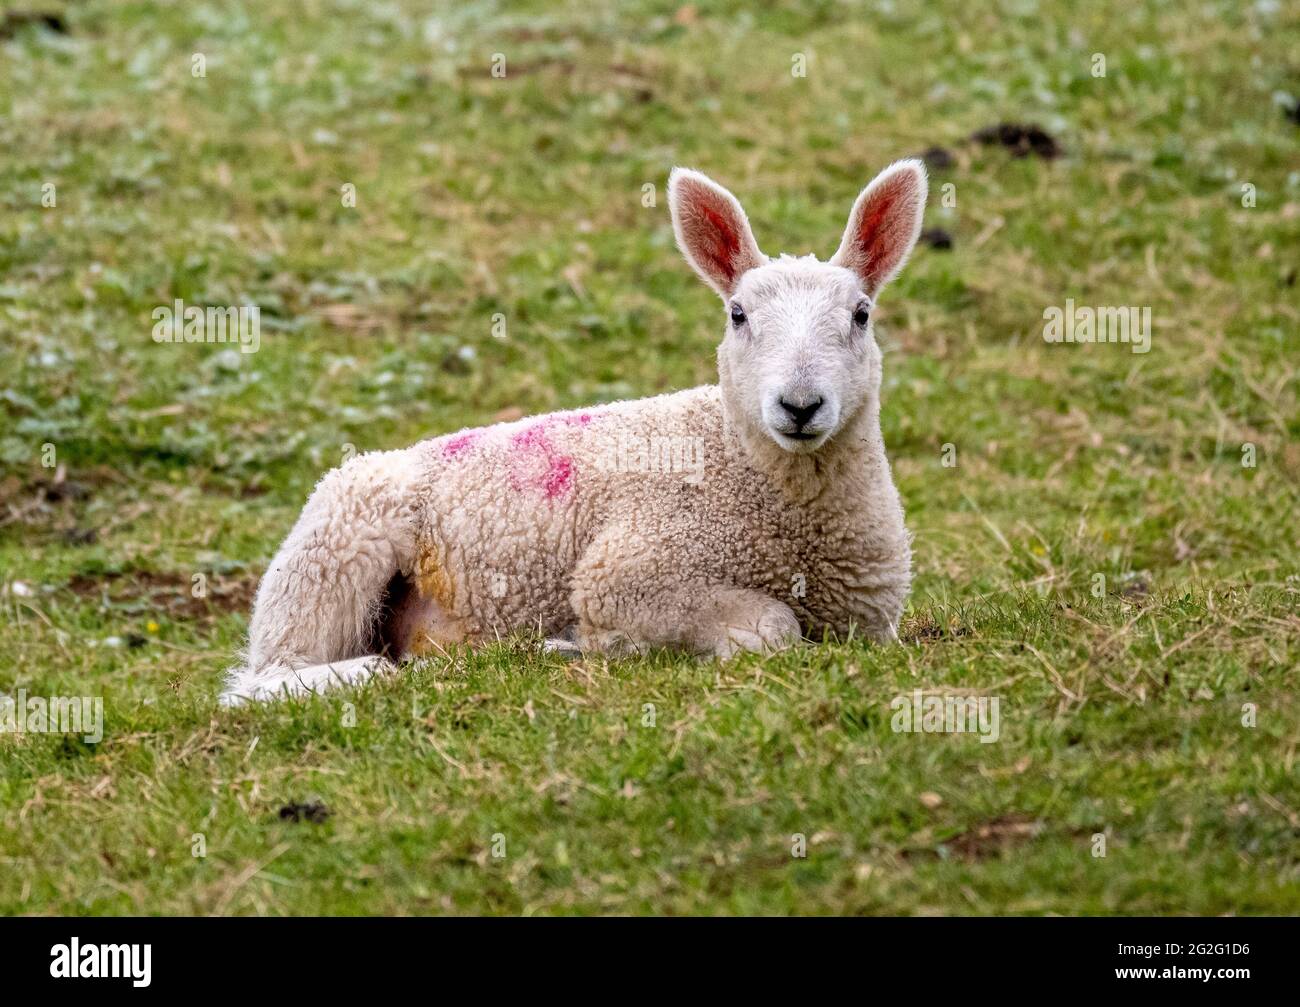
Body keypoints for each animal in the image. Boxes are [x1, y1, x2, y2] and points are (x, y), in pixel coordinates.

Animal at [226, 161, 935, 706]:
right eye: (738, 316)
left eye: (861, 315)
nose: (800, 405)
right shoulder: (625, 574)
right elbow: (772, 628)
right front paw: (605, 646)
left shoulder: (869, 619)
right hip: (332, 548)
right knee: (262, 678)